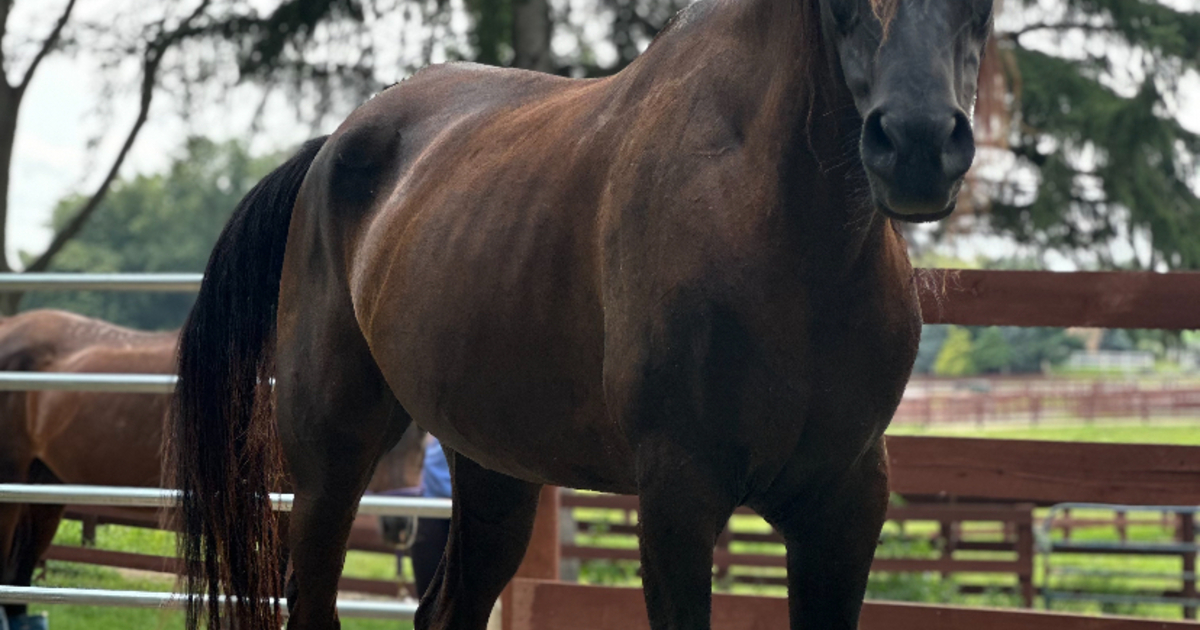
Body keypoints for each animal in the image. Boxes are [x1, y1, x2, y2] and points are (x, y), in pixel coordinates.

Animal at [169, 0, 994, 627]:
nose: (918, 142)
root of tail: (333, 148)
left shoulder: (844, 507)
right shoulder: (677, 500)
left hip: (493, 470)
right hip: (330, 455)